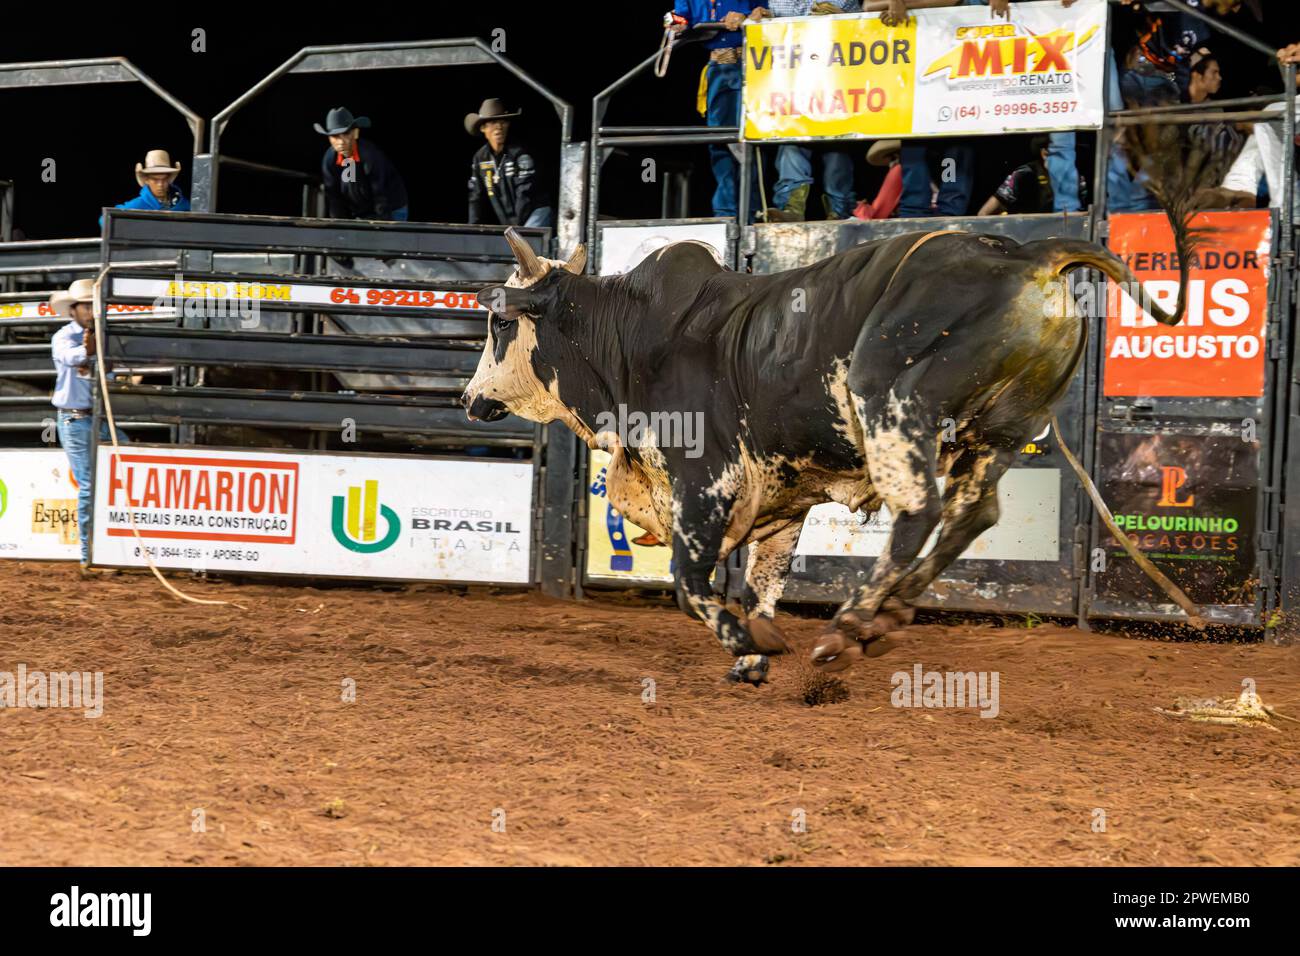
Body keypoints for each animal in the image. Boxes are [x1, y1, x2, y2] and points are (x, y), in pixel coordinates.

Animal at [460, 220, 1197, 686]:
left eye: (498, 323)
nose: (469, 399)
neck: (631, 337)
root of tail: (1026, 253)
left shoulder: (704, 480)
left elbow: (691, 582)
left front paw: (748, 645)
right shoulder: (782, 504)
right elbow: (763, 583)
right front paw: (751, 656)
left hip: (895, 408)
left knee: (920, 515)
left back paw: (850, 625)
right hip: (1000, 430)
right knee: (974, 514)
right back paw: (890, 611)